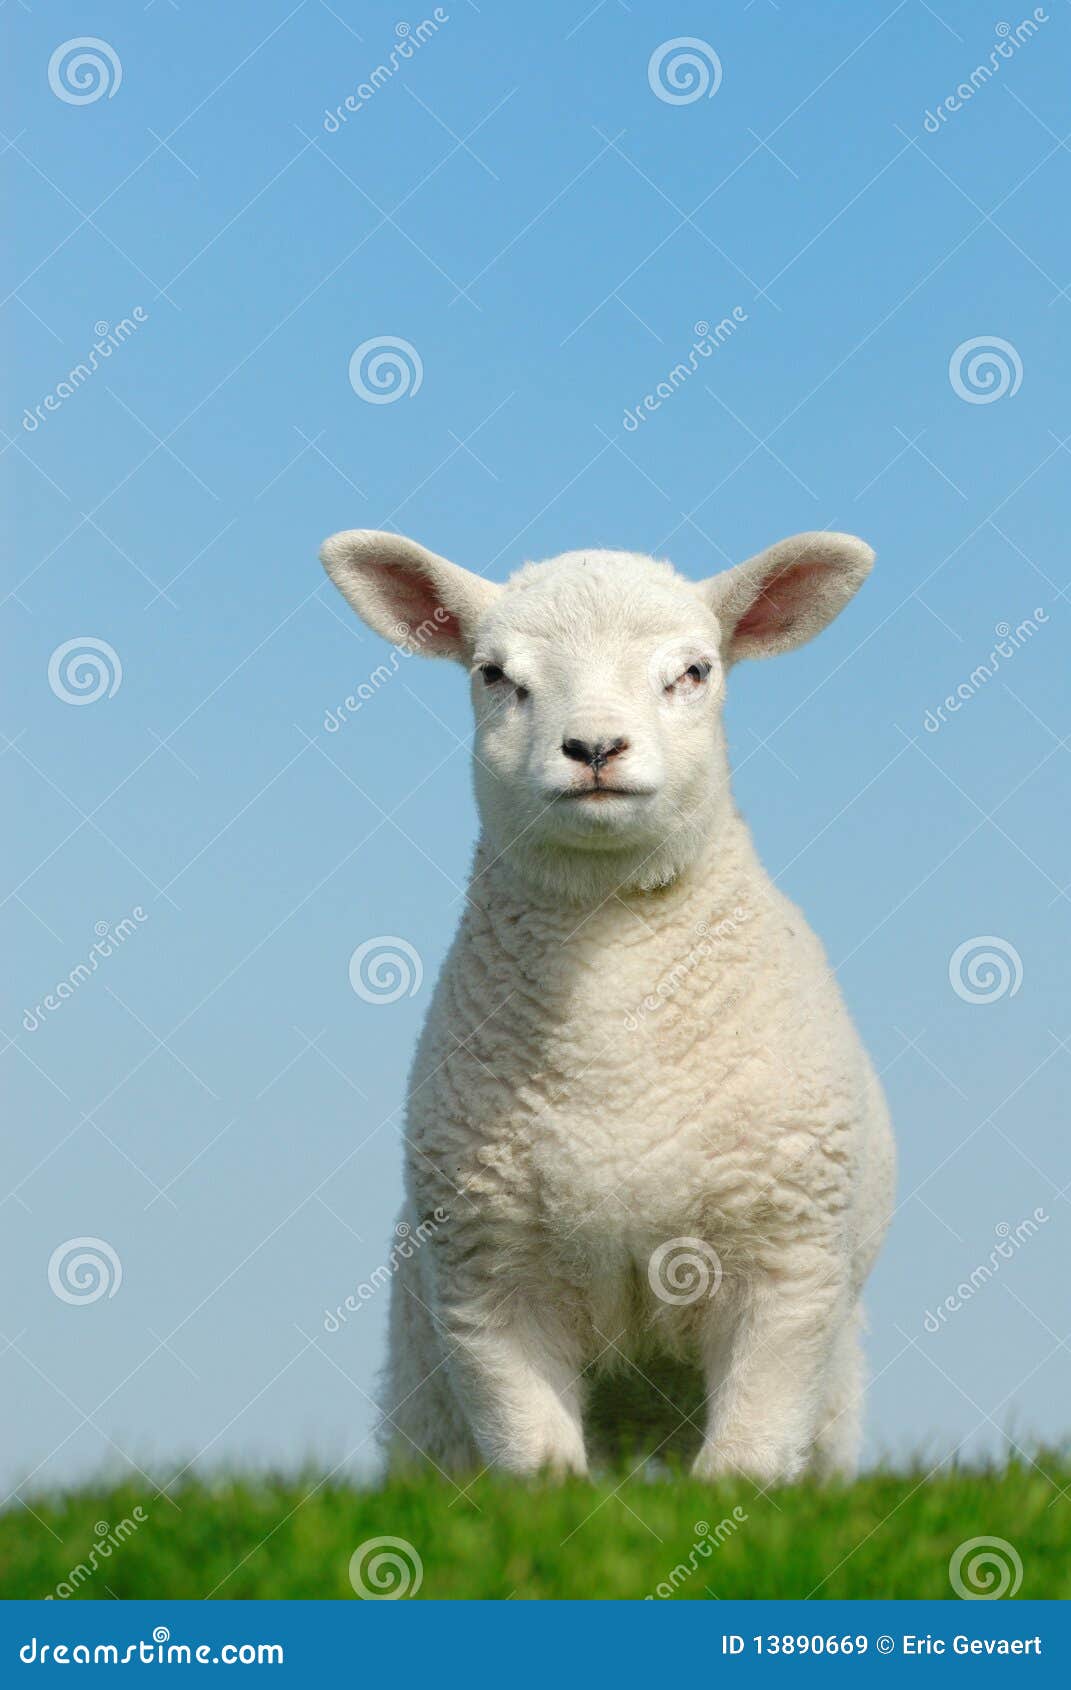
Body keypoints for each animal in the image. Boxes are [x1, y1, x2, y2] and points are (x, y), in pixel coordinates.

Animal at [321, 527, 896, 1484]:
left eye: (695, 671)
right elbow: (534, 1461)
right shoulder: (485, 1280)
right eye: (493, 674)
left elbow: (745, 1456)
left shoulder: (788, 1267)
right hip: (421, 1390)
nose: (593, 747)